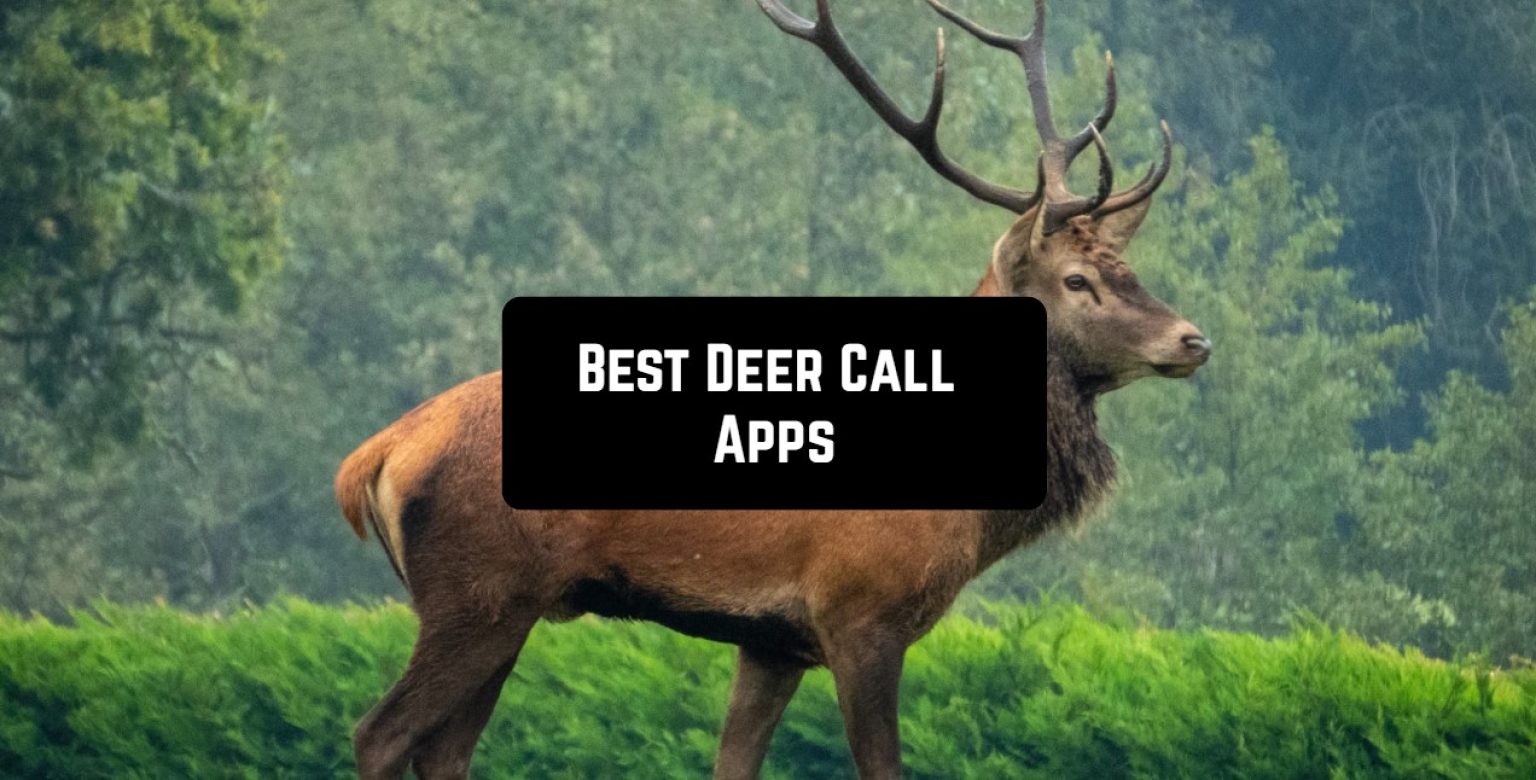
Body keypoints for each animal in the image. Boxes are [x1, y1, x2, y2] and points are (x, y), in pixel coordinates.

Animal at [333, 1, 1210, 777]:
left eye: (1129, 267)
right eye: (1077, 280)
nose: (1192, 339)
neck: (968, 525)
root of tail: (377, 454)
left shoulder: (771, 640)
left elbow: (734, 763)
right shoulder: (861, 614)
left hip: (499, 605)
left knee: (444, 749)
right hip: (478, 592)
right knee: (382, 733)